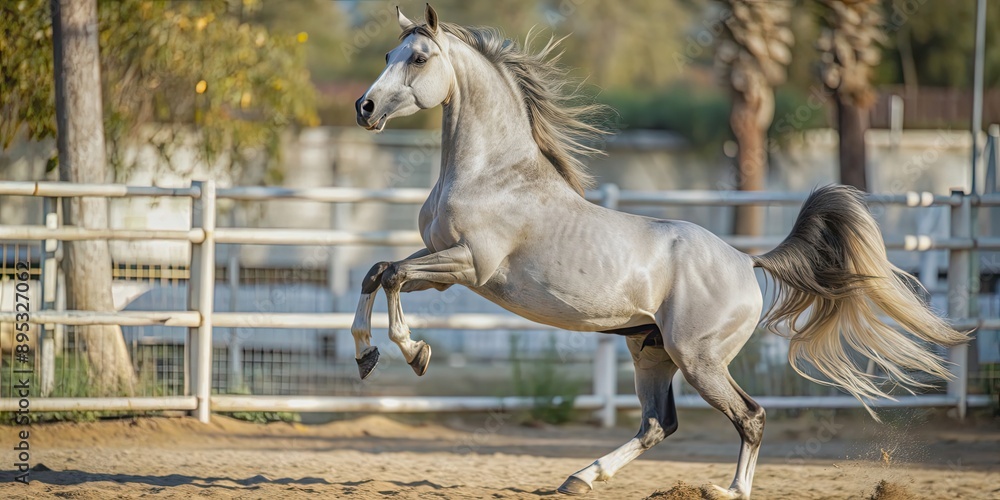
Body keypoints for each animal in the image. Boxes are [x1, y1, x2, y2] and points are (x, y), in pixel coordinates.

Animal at [348, 5, 967, 498]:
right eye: (388, 52)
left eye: (419, 59)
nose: (365, 107)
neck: (494, 175)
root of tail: (747, 262)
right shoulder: (445, 268)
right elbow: (377, 272)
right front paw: (366, 355)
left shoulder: (469, 265)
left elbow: (392, 276)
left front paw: (414, 352)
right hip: (652, 352)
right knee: (656, 424)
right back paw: (580, 478)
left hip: (699, 358)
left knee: (750, 416)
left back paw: (728, 491)